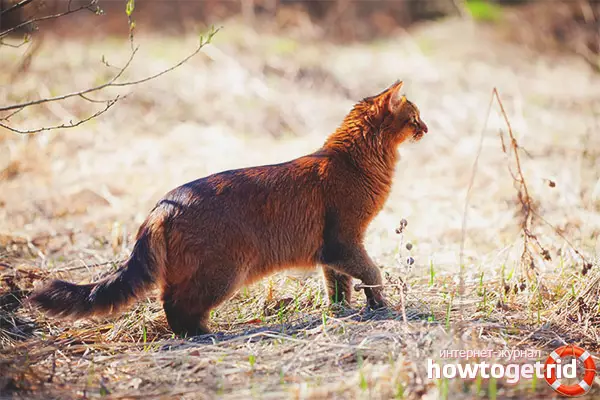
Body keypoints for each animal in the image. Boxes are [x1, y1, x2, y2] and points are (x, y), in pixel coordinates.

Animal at [30, 79, 428, 336]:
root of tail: (163, 204)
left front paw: (343, 311)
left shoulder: (330, 251)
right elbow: (372, 271)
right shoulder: (345, 240)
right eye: (414, 117)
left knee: (168, 297)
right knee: (174, 303)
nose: (426, 128)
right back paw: (203, 333)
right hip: (223, 271)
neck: (354, 160)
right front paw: (380, 305)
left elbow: (339, 285)